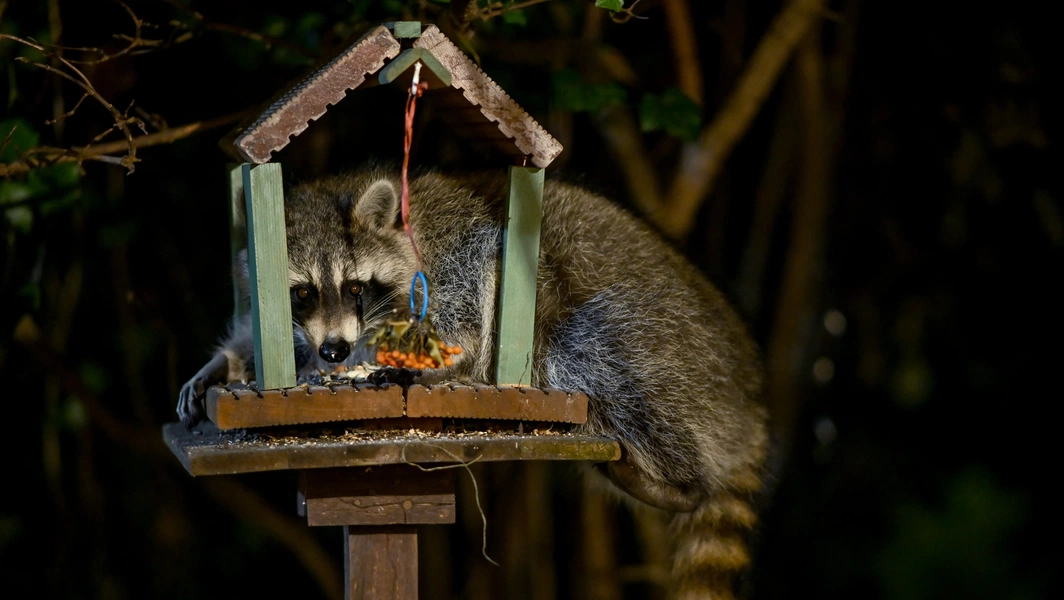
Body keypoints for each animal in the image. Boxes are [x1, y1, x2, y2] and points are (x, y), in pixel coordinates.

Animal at [177, 168, 769, 599]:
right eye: (300, 293)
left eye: (355, 287)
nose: (335, 351)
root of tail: (746, 392)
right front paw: (227, 363)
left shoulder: (454, 247)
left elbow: (473, 291)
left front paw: (433, 366)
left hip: (663, 343)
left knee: (585, 344)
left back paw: (681, 483)